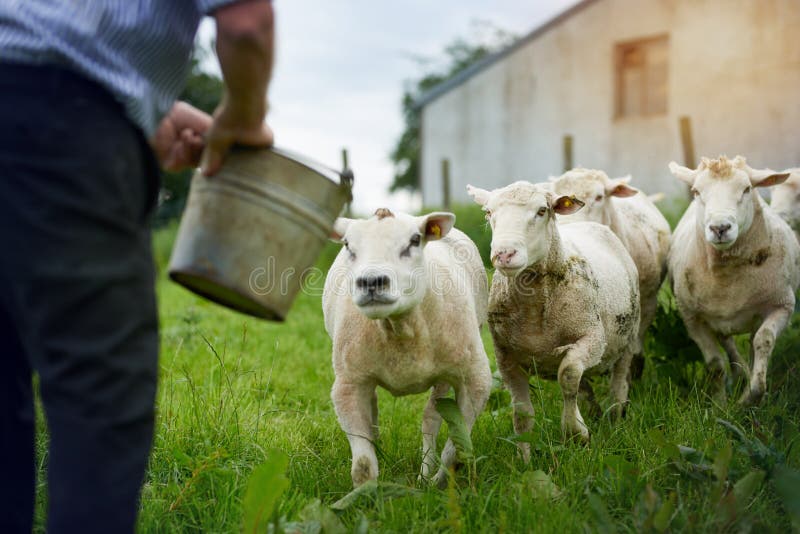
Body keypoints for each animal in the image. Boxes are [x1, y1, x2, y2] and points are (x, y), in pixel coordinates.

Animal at [322, 208, 492, 488]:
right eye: (347, 245)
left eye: (414, 240)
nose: (371, 282)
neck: (400, 328)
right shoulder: (347, 385)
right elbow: (363, 466)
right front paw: (366, 494)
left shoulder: (475, 381)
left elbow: (455, 450)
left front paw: (437, 485)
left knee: (431, 418)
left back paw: (425, 474)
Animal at [466, 181, 640, 461]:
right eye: (488, 213)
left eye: (541, 211)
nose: (504, 254)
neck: (534, 311)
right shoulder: (505, 358)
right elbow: (522, 413)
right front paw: (524, 460)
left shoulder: (592, 337)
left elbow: (568, 375)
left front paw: (576, 432)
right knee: (586, 385)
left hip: (629, 336)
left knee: (618, 382)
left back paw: (615, 418)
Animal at [667, 156, 800, 405]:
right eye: (696, 191)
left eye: (747, 189)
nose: (720, 227)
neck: (728, 283)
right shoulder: (692, 318)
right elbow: (715, 365)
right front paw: (719, 405)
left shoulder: (781, 305)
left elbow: (763, 341)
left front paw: (749, 399)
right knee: (728, 343)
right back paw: (739, 373)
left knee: (753, 342)